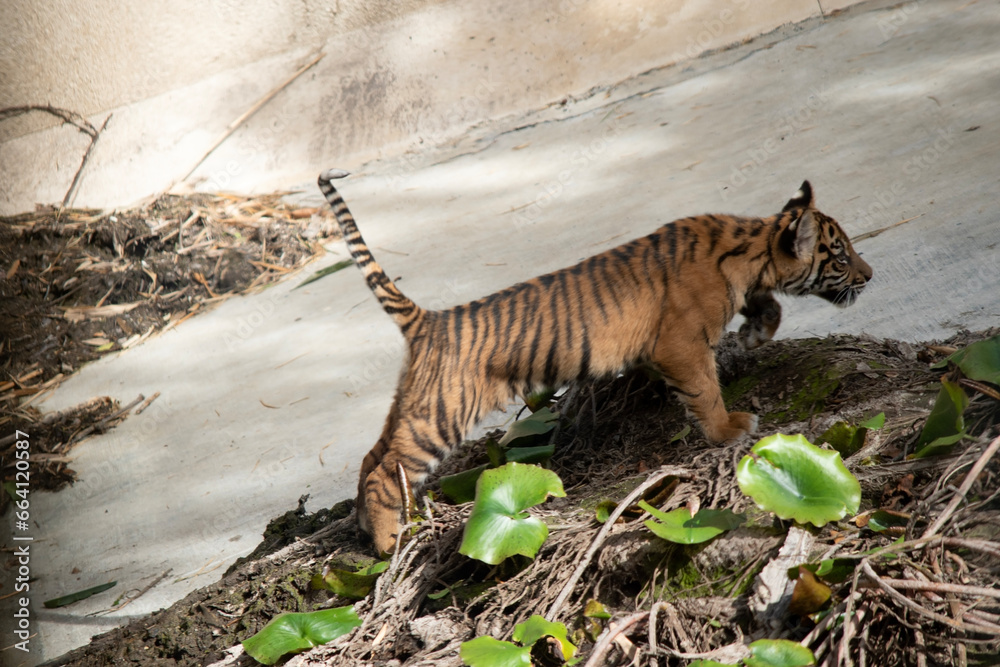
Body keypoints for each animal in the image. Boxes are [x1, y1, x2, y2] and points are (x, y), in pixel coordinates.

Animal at [317, 168, 873, 554]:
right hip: (442, 413)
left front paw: (751, 334)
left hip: (413, 403)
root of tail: (428, 319)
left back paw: (376, 527)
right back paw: (389, 543)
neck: (751, 245)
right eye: (842, 256)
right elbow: (705, 389)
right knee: (384, 472)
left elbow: (769, 310)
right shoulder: (680, 343)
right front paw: (729, 429)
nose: (869, 276)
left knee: (371, 457)